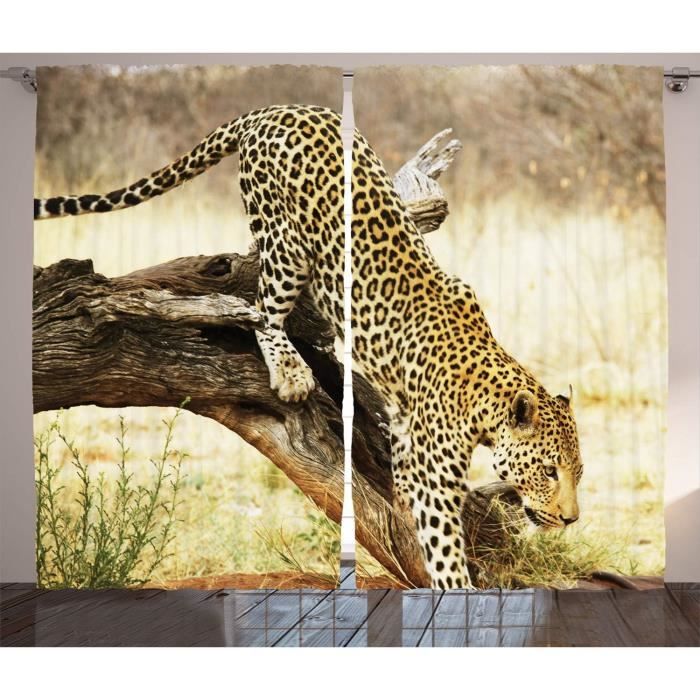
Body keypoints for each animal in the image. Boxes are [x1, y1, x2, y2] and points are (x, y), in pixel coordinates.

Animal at [34, 104, 583, 589]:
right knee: (261, 308)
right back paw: (290, 371)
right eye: (550, 471)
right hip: (285, 245)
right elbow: (444, 549)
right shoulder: (436, 476)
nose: (572, 519)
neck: (484, 396)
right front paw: (458, 592)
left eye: (576, 471)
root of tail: (271, 110)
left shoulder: (409, 431)